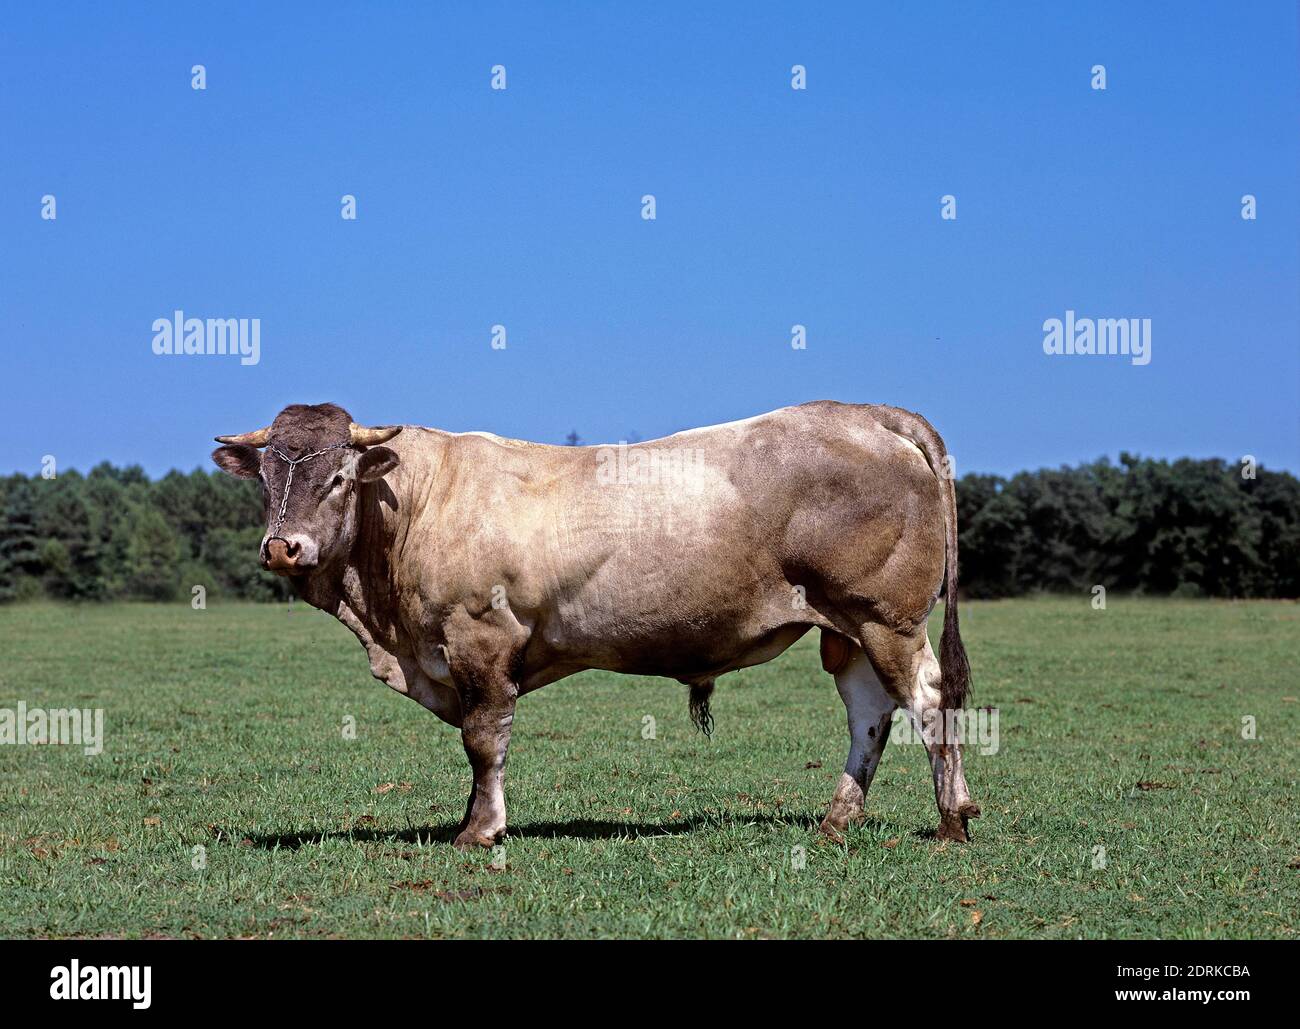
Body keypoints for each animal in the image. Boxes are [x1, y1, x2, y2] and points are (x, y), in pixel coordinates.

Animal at [212, 401, 980, 849]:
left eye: (339, 478)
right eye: (267, 479)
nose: (283, 547)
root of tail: (866, 413)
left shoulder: (479, 636)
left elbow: (483, 739)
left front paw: (480, 832)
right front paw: (470, 819)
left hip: (886, 618)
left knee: (929, 701)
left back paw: (952, 817)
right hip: (847, 631)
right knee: (870, 715)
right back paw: (838, 819)